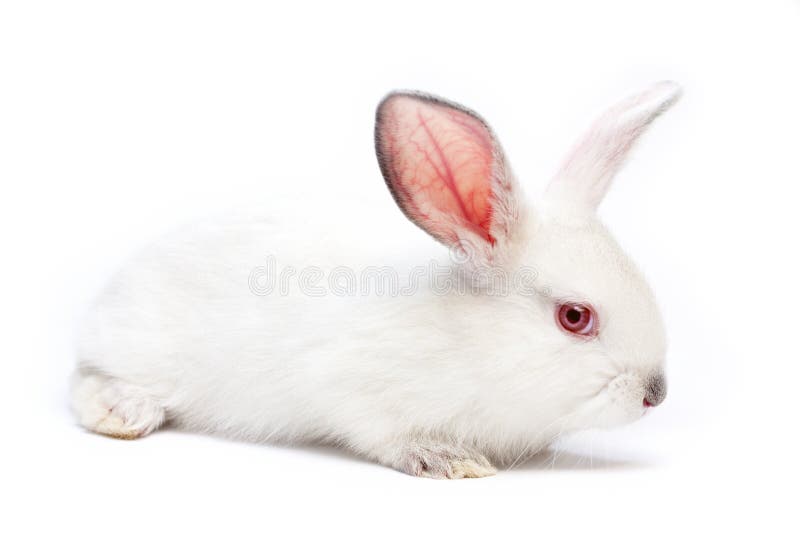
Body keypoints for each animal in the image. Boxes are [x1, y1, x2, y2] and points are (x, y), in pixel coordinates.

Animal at [71, 81, 681, 478]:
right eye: (574, 318)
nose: (656, 394)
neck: (474, 341)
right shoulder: (356, 392)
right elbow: (386, 434)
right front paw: (450, 460)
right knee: (89, 382)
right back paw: (124, 412)